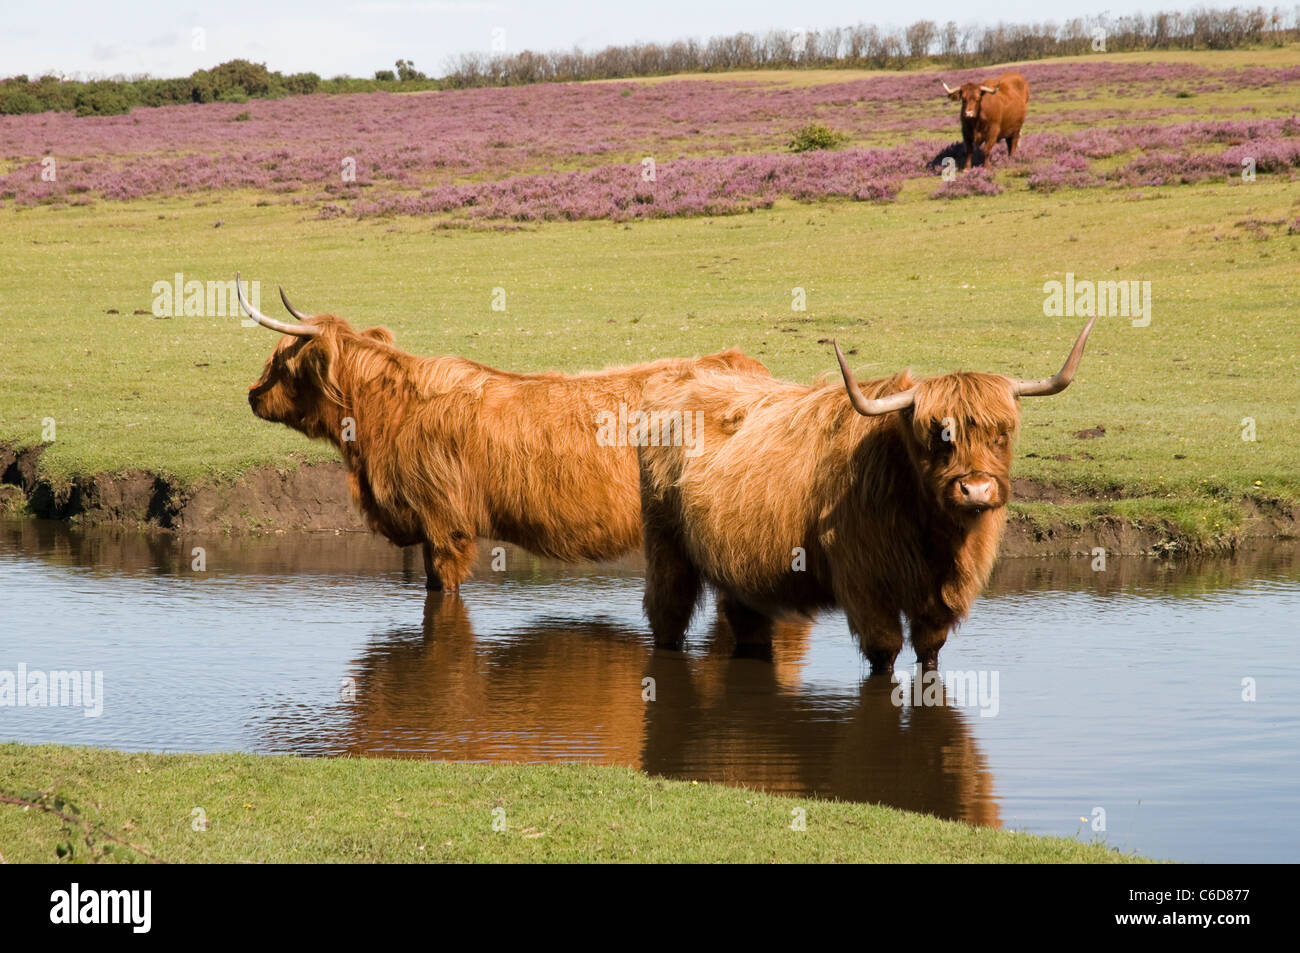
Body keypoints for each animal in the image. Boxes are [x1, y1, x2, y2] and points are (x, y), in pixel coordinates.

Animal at [637, 318, 1095, 674]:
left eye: (1002, 433)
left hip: (741, 567)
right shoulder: (864, 583)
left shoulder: (940, 599)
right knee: (667, 615)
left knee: (746, 621)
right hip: (666, 548)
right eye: (939, 436)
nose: (976, 489)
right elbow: (884, 651)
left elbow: (929, 651)